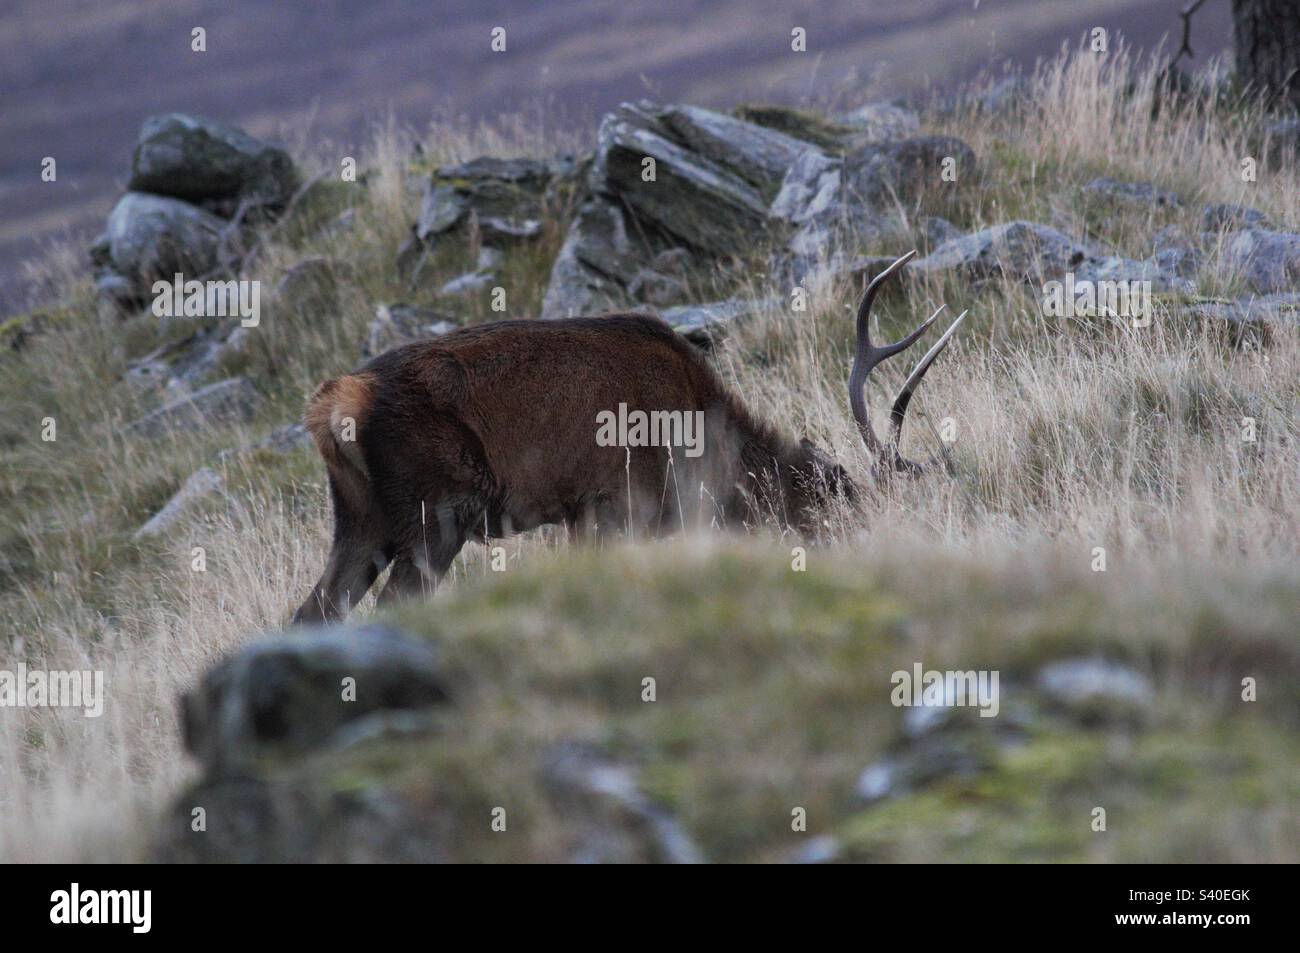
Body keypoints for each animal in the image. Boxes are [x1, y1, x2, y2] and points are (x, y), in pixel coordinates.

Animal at [292, 250, 965, 624]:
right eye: (840, 516)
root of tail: (331, 405)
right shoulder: (611, 504)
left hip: (362, 516)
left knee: (314, 611)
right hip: (438, 508)